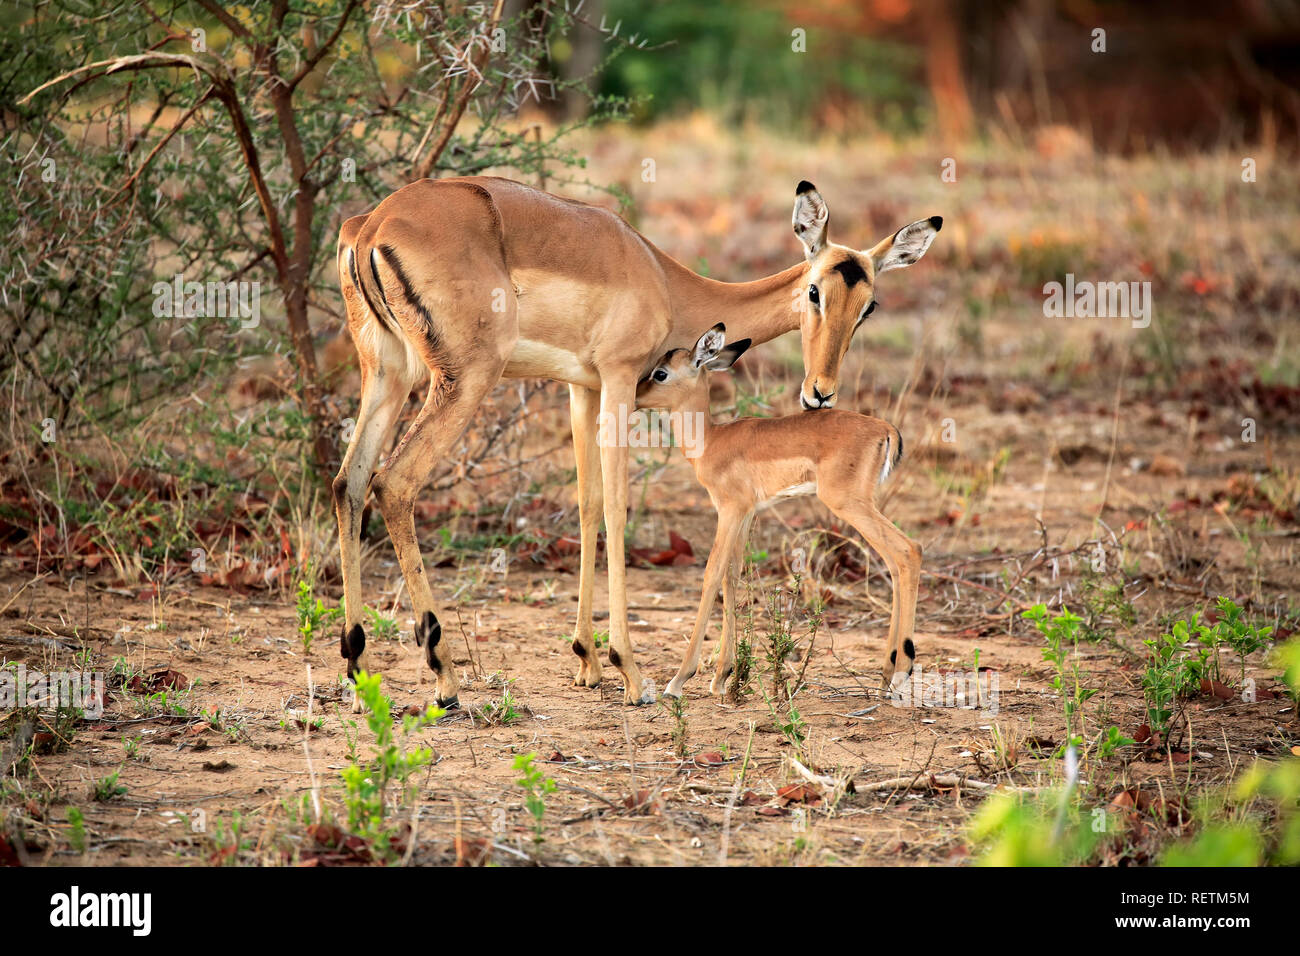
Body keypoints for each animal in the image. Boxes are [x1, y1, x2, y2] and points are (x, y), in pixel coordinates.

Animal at [635, 325, 921, 698]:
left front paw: (679, 680)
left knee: (907, 551)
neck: (711, 441)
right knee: (894, 562)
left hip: (849, 503)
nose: (633, 396)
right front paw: (722, 676)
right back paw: (887, 673)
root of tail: (885, 430)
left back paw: (901, 674)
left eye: (661, 373)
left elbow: (712, 574)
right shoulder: (745, 514)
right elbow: (732, 575)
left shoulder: (729, 510)